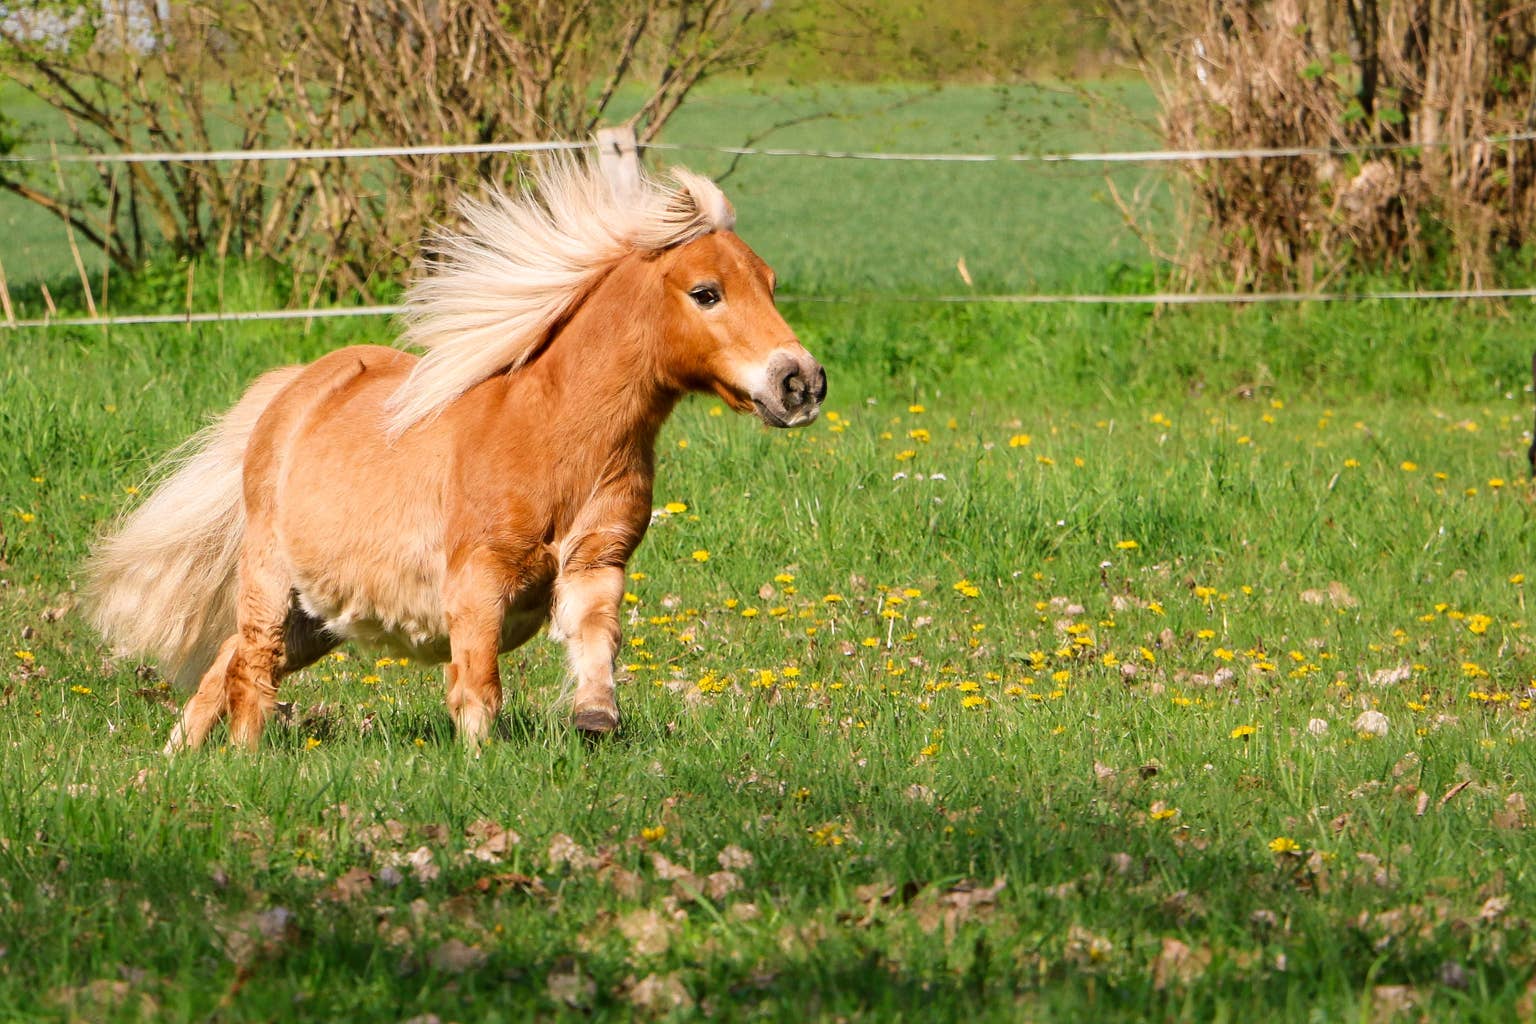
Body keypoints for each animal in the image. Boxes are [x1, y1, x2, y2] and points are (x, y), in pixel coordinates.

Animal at [86, 159, 826, 752]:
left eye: (769, 282)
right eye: (706, 292)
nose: (801, 383)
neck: (554, 438)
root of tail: (292, 391)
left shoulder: (597, 564)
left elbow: (597, 644)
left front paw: (594, 719)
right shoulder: (477, 583)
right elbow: (478, 687)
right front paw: (480, 765)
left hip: (318, 617)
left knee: (225, 664)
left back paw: (178, 761)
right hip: (270, 580)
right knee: (252, 669)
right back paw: (241, 762)